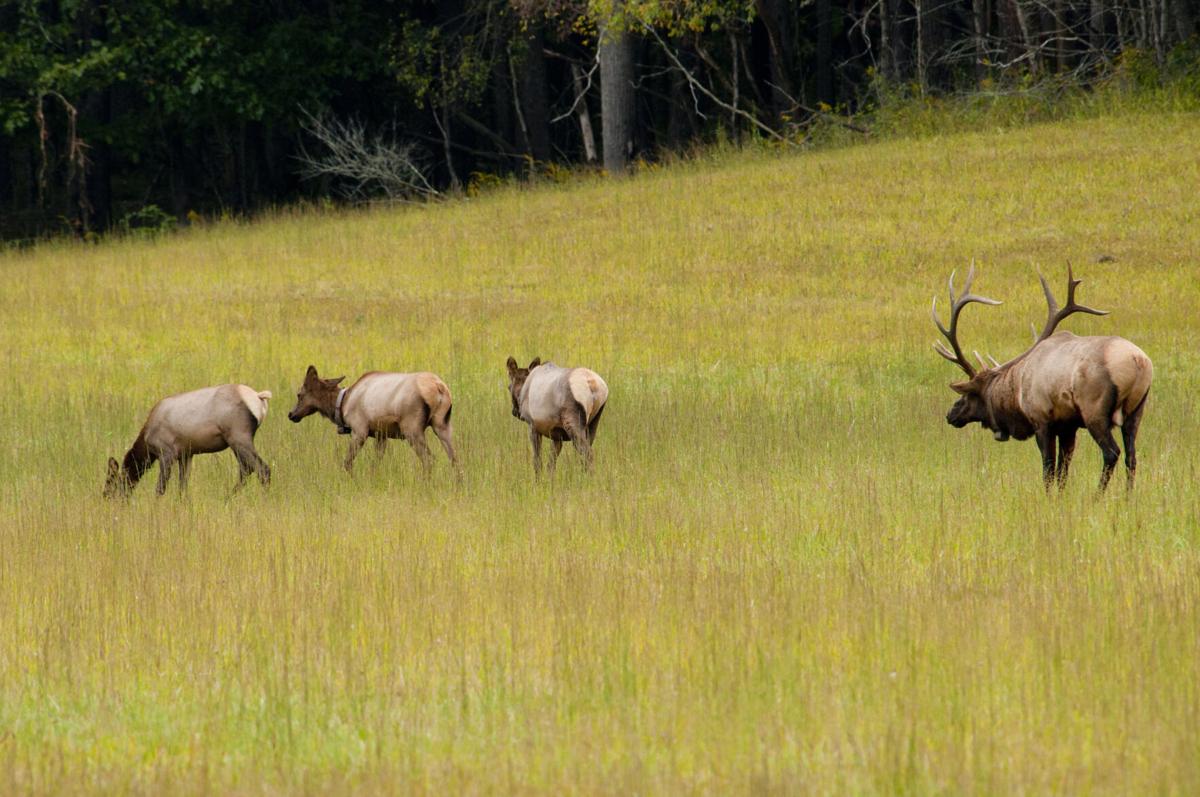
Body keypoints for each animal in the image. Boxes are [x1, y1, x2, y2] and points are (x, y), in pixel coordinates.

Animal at [104, 384, 272, 498]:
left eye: (110, 481)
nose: (105, 497)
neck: (146, 444)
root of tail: (259, 397)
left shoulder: (166, 453)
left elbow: (160, 488)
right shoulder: (186, 455)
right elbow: (182, 487)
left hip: (238, 437)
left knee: (262, 469)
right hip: (236, 442)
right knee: (246, 469)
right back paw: (228, 498)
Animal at [287, 365, 461, 478]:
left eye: (299, 394)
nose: (291, 414)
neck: (341, 405)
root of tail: (439, 388)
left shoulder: (360, 430)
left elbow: (347, 462)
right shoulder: (381, 435)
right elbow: (376, 463)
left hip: (412, 428)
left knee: (429, 459)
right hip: (443, 425)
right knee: (455, 459)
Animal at [932, 266, 1153, 491]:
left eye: (968, 395)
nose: (951, 413)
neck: (1017, 390)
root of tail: (1138, 361)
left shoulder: (1042, 420)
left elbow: (1048, 470)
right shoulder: (1068, 426)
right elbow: (1063, 471)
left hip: (1094, 410)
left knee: (1111, 453)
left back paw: (1098, 494)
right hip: (1136, 410)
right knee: (1131, 457)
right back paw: (1128, 494)